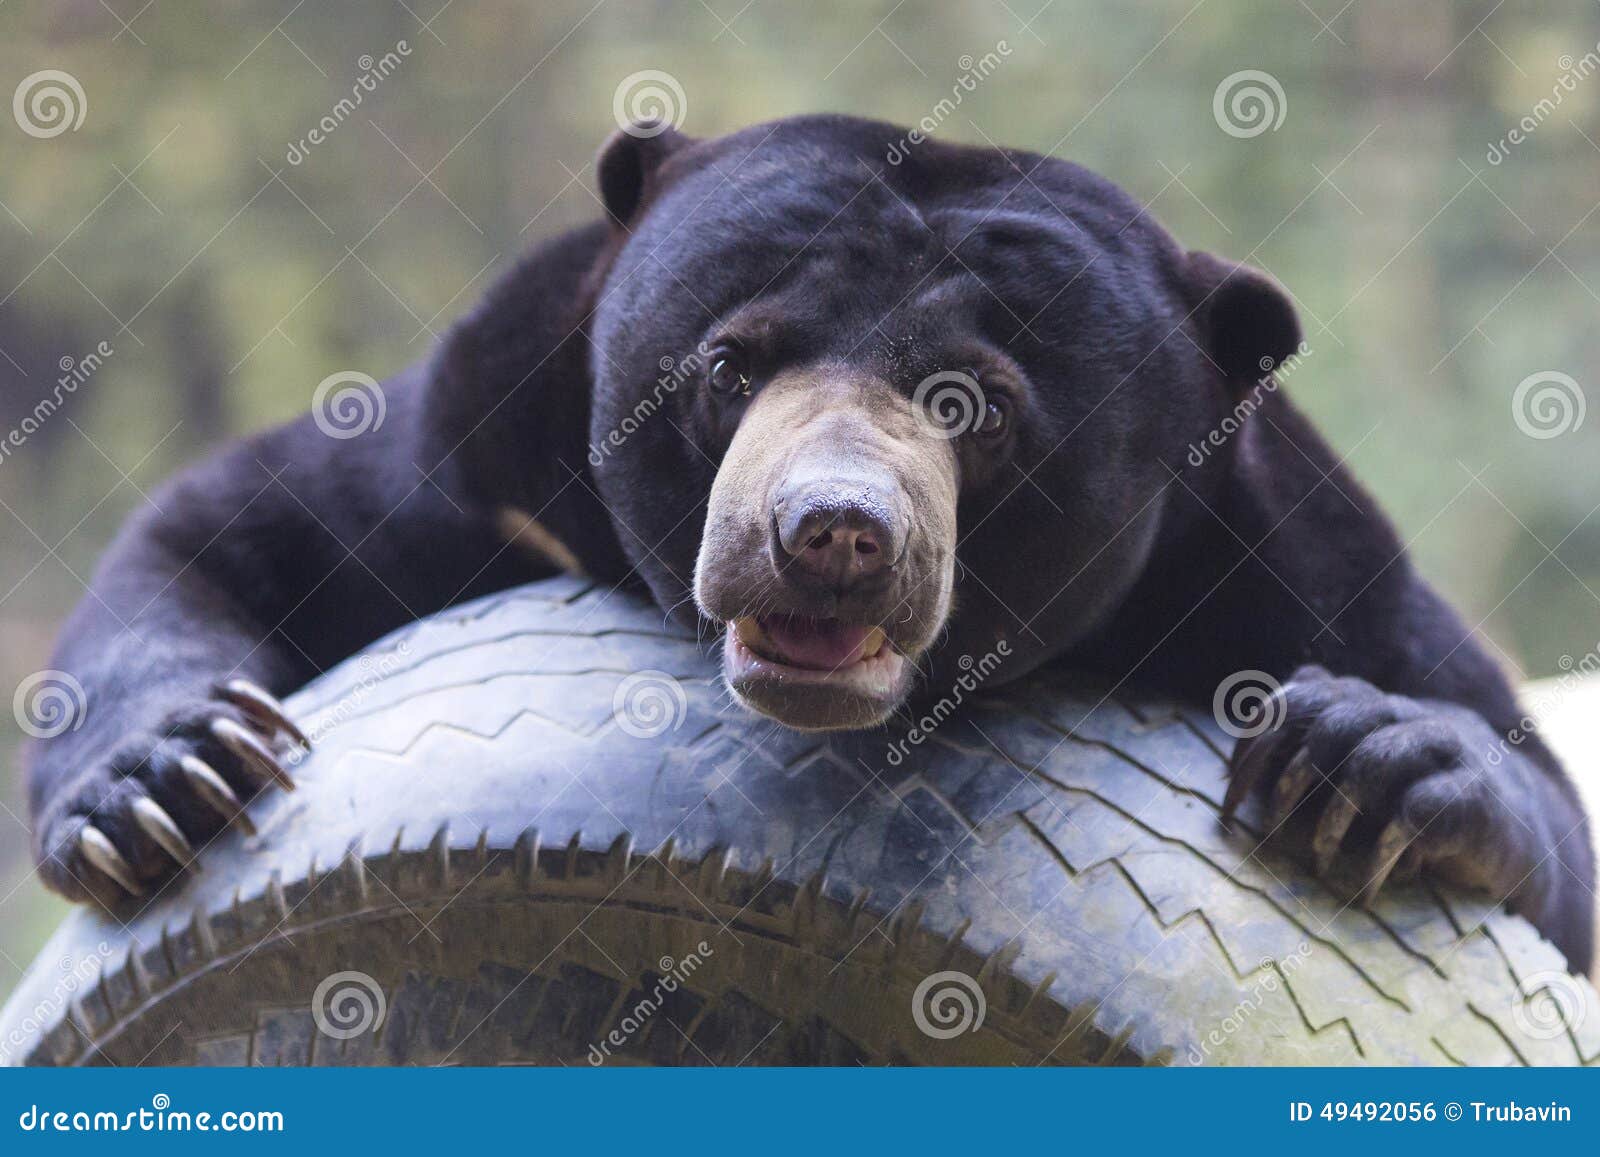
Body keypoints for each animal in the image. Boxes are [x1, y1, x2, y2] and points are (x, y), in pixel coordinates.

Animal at [23, 114, 1595, 972]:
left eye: (976, 407)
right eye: (733, 365)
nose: (832, 534)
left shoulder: (1288, 563)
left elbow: (1529, 808)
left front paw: (1362, 762)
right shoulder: (476, 458)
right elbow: (243, 528)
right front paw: (164, 786)